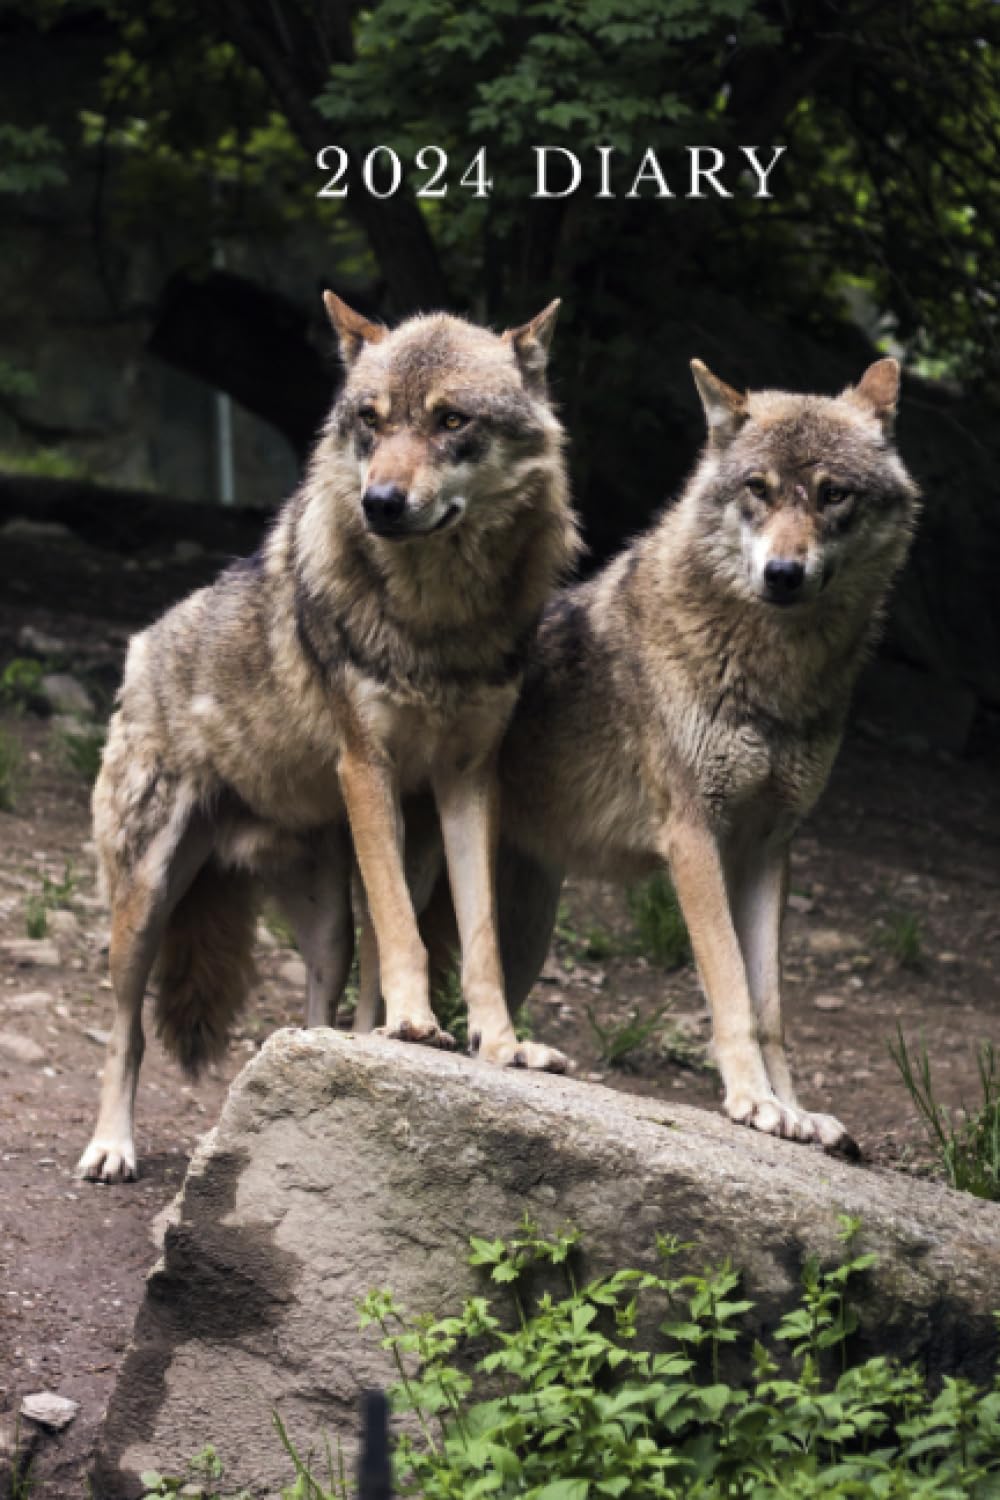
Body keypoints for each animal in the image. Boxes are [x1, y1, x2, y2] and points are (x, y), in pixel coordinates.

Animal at [78, 293, 580, 1183]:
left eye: (451, 420)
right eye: (371, 421)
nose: (381, 502)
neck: (436, 623)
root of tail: (142, 645)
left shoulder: (466, 782)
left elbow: (477, 940)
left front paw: (501, 1046)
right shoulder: (365, 766)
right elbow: (408, 939)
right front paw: (416, 1024)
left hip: (328, 927)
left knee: (316, 1015)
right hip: (144, 901)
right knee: (126, 1032)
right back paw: (112, 1146)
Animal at [357, 357, 919, 1154]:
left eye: (833, 494)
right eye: (759, 489)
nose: (783, 573)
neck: (775, 678)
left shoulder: (770, 847)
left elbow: (771, 1008)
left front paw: (797, 1112)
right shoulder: (693, 837)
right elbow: (732, 989)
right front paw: (755, 1103)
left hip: (525, 930)